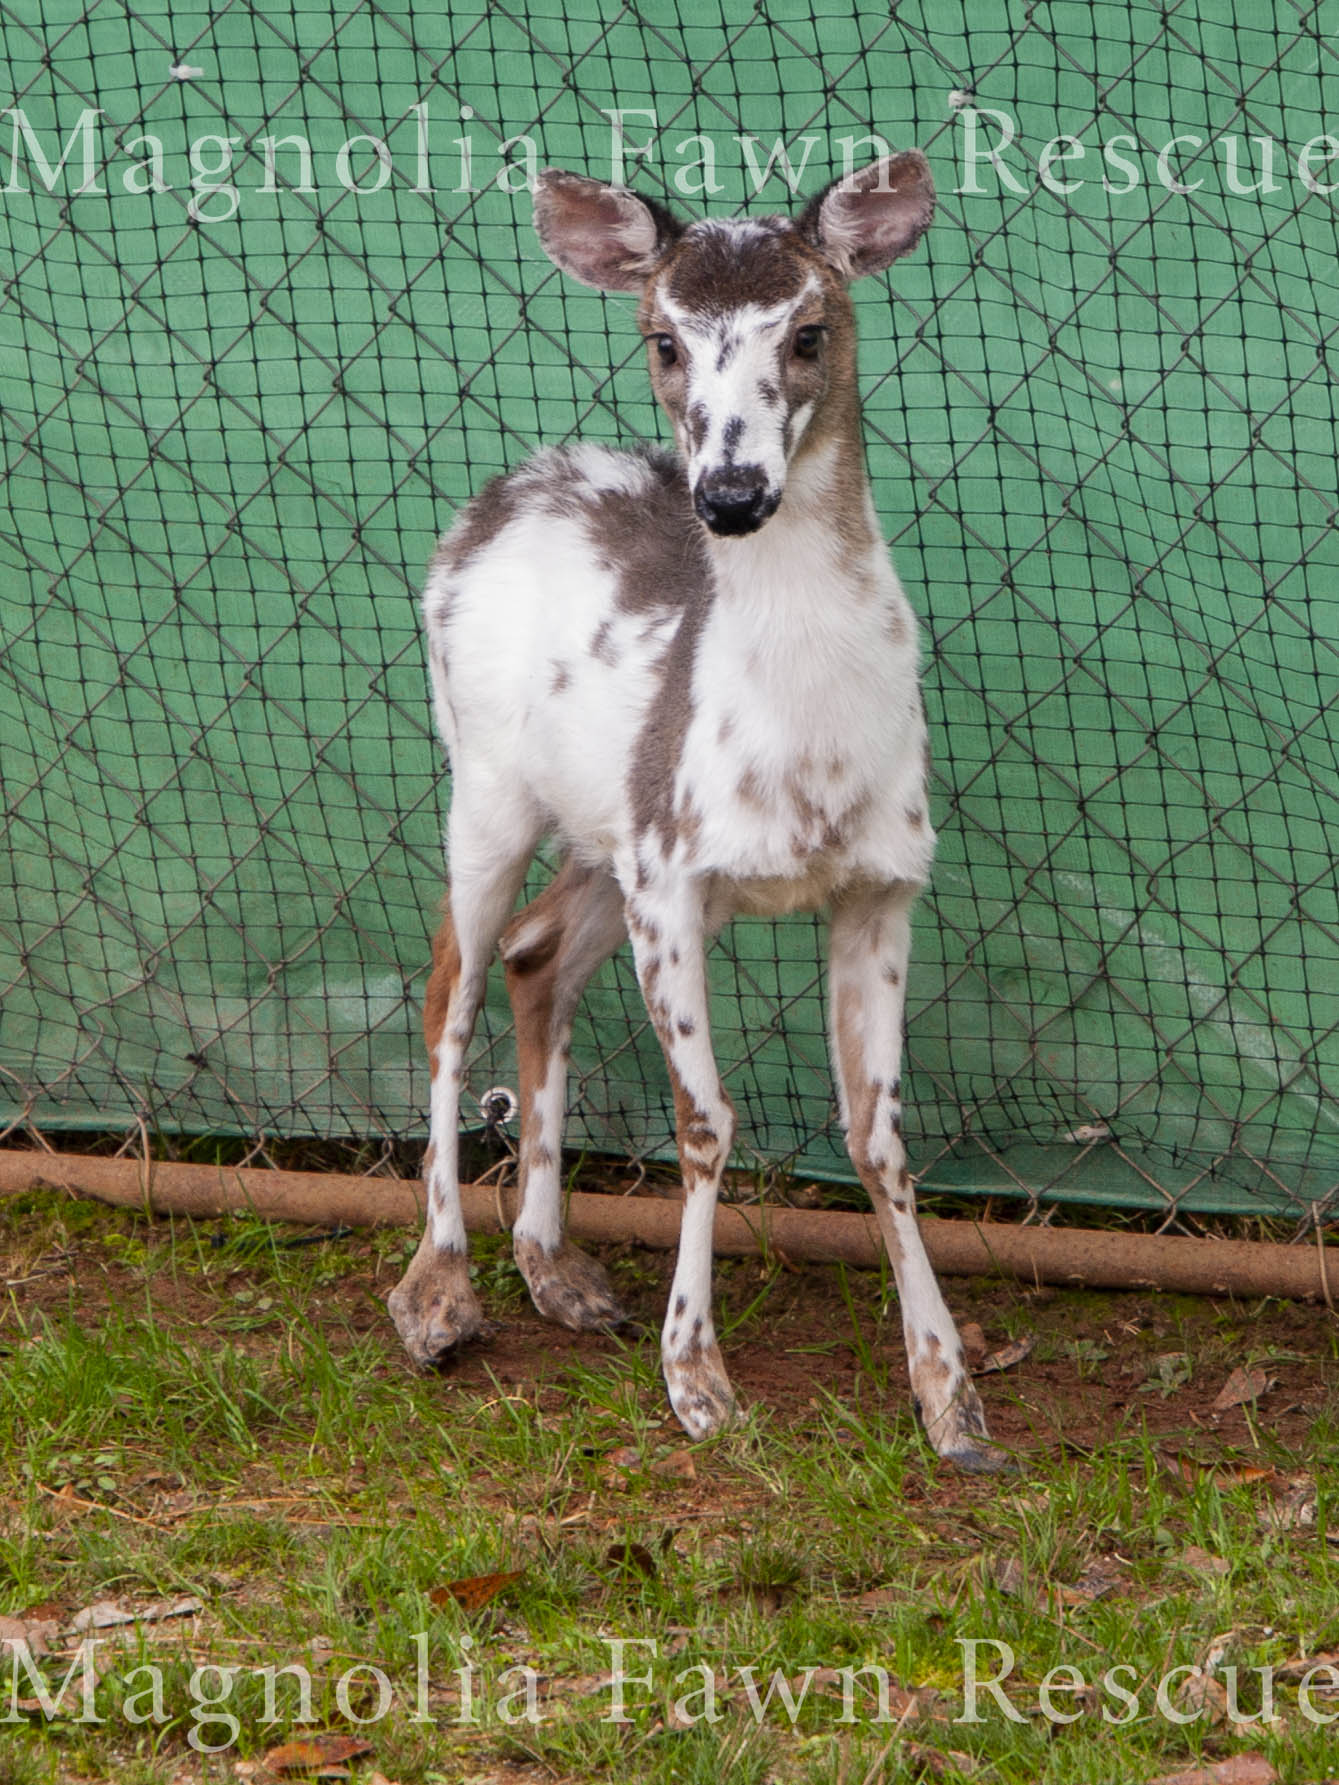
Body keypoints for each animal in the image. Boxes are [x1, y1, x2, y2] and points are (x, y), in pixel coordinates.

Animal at [387, 149, 1003, 1471]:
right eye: (664, 339)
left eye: (810, 329)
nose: (726, 492)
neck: (807, 757)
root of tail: (506, 488)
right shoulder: (674, 874)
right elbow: (704, 1119)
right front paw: (698, 1381)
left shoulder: (880, 882)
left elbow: (879, 1135)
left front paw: (950, 1398)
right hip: (488, 780)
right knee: (448, 987)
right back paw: (439, 1289)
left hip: (610, 823)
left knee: (532, 955)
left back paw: (555, 1269)